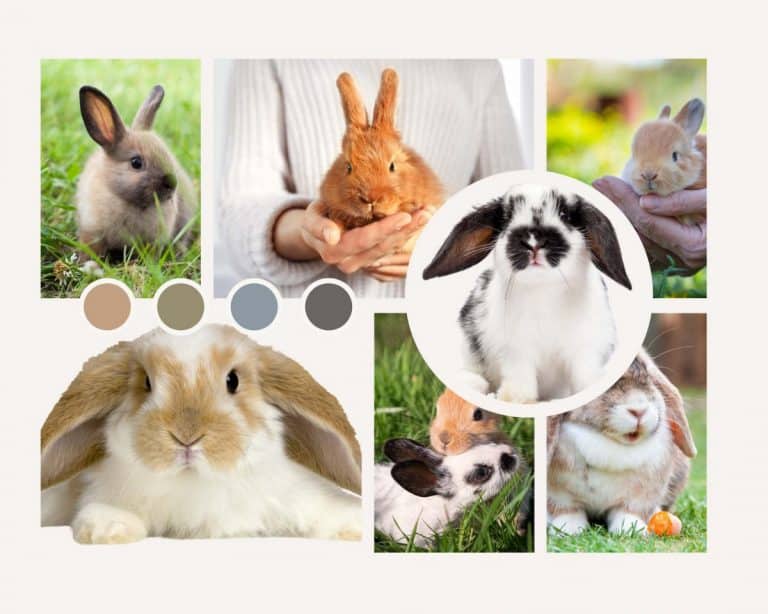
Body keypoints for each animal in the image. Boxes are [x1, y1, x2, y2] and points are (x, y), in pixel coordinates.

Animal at [40, 324, 362, 543]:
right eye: (146, 383)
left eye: (233, 380)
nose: (187, 436)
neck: (195, 482)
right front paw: (107, 529)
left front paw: (354, 524)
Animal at [76, 85, 195, 265]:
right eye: (136, 163)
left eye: (168, 156)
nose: (172, 183)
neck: (129, 201)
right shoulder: (92, 232)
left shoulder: (153, 241)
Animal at [423, 184, 632, 403]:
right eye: (506, 217)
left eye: (565, 215)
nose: (533, 241)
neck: (544, 289)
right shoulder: (514, 352)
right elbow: (520, 378)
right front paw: (516, 399)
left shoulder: (586, 349)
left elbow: (586, 376)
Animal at [547, 349, 697, 535]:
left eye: (647, 375)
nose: (639, 410)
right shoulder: (559, 495)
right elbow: (566, 511)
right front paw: (568, 530)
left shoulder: (641, 495)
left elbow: (629, 512)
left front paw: (631, 531)